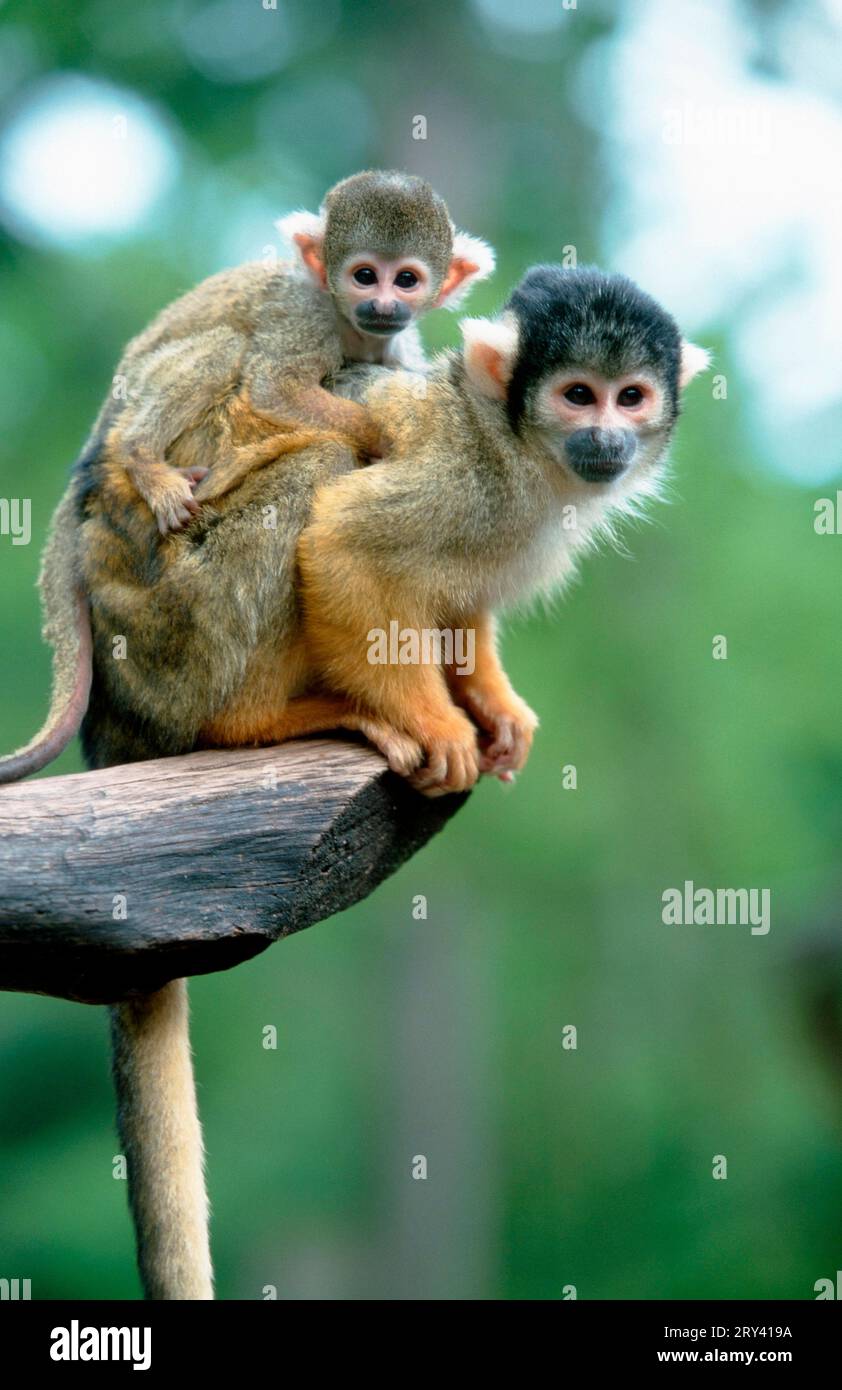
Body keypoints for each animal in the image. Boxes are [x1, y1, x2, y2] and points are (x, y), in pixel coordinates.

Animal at [0, 265, 707, 1299]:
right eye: (579, 395)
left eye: (632, 397)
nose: (608, 439)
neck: (515, 452)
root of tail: (115, 725)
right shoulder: (457, 475)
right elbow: (346, 545)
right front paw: (432, 725)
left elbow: (455, 599)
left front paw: (491, 700)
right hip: (170, 632)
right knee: (317, 468)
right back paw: (262, 721)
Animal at [88, 170, 494, 534]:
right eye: (364, 276)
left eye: (406, 280)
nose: (382, 306)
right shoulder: (307, 314)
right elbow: (277, 389)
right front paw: (383, 436)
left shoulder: (400, 342)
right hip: (137, 386)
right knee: (227, 346)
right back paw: (140, 457)